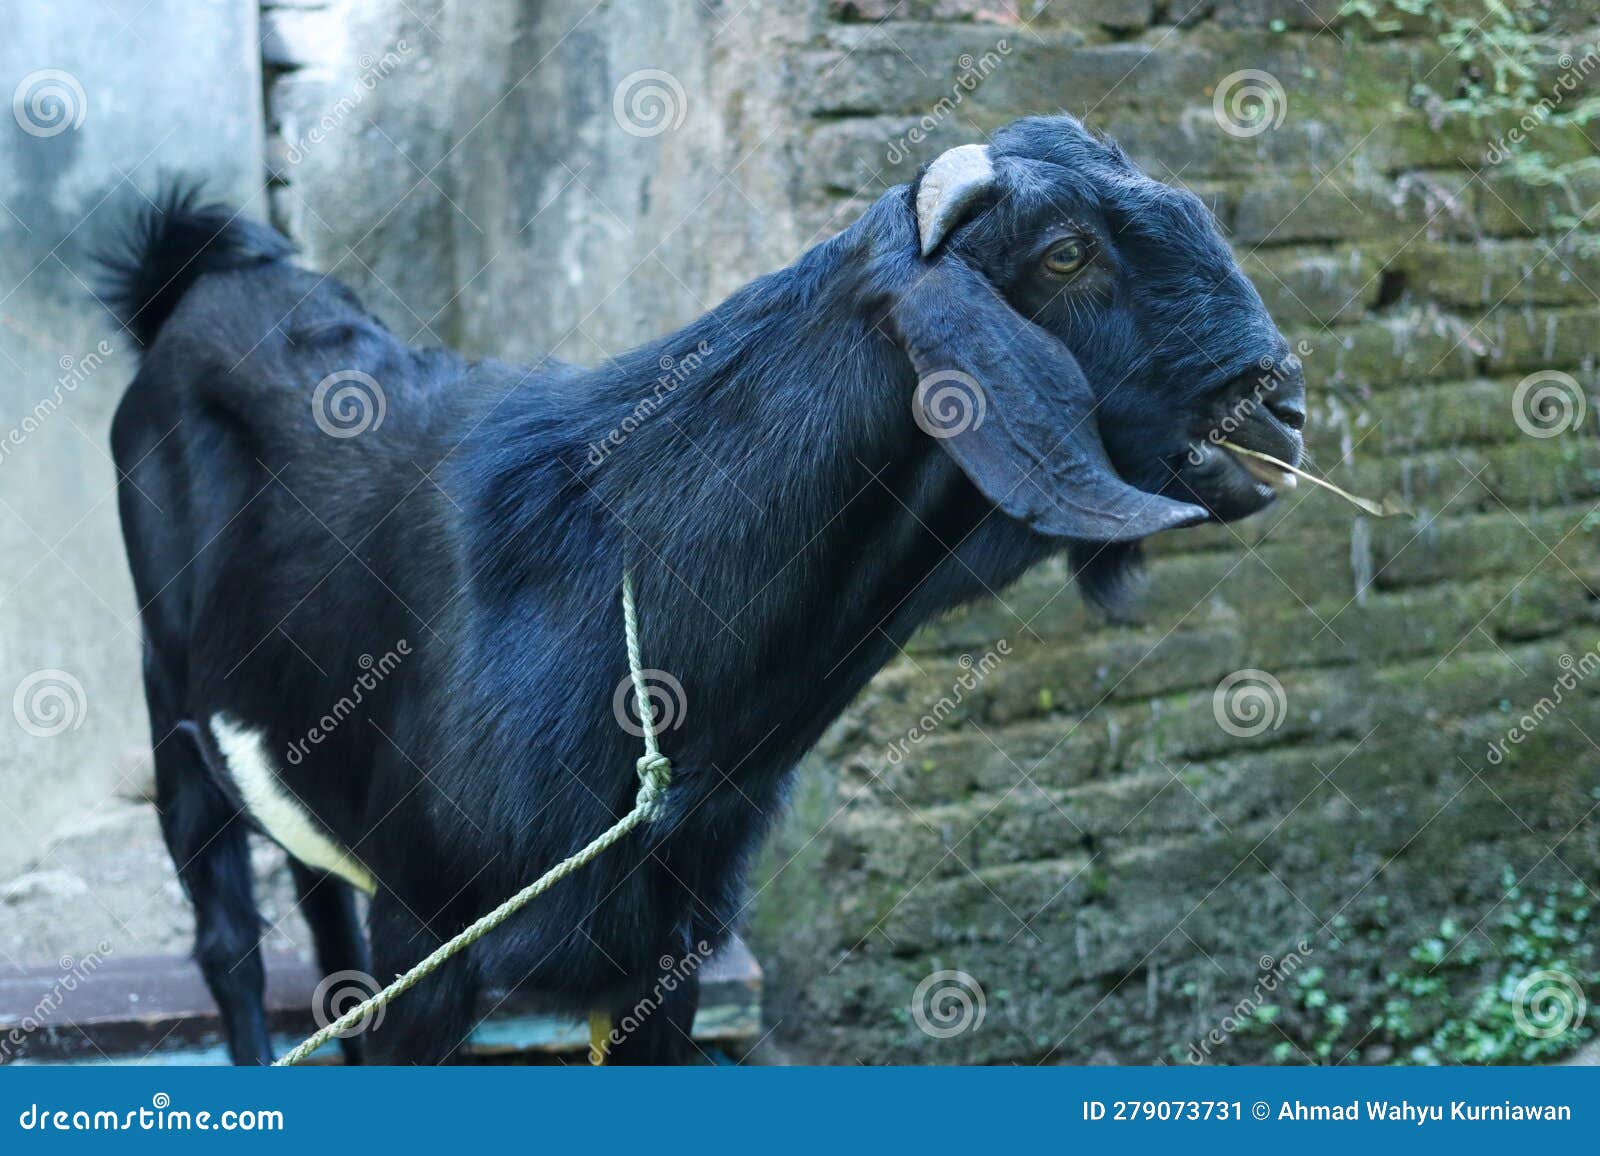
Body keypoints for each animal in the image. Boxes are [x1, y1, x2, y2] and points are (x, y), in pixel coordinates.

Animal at [100, 113, 1306, 1064]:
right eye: (1064, 252)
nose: (1282, 404)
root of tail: (202, 283)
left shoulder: (663, 957)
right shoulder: (429, 940)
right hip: (167, 699)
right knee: (228, 941)